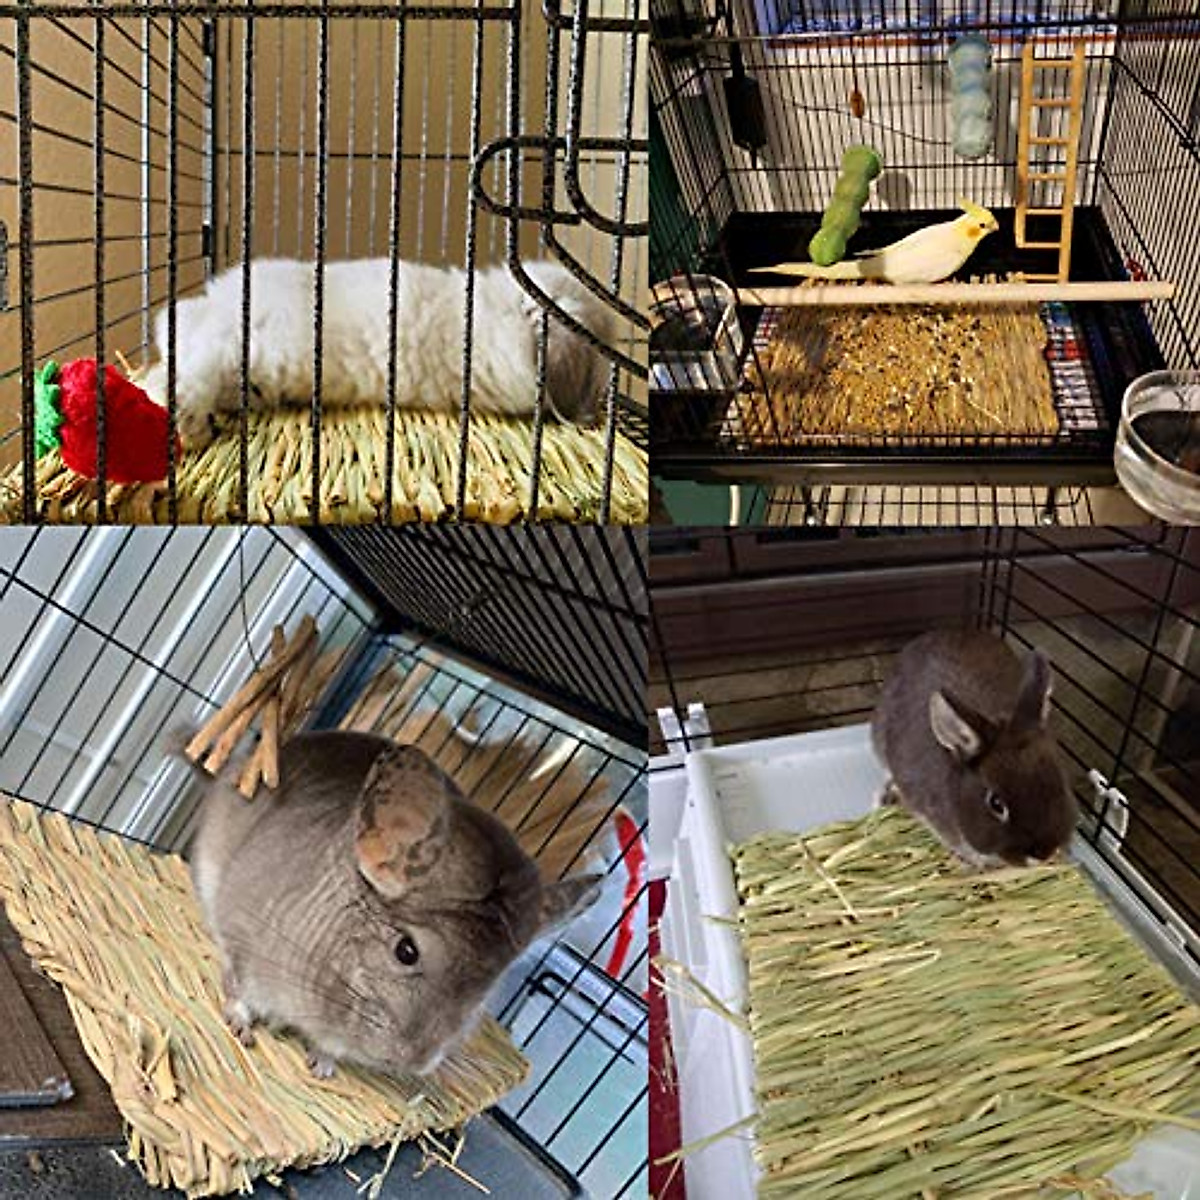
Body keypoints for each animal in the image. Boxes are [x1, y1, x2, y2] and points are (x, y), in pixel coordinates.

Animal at [188, 730, 603, 1078]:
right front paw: (240, 1027)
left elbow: (330, 1048)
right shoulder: (244, 944)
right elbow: (239, 990)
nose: (414, 1061)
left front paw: (323, 1066)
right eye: (406, 951)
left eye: (482, 996)